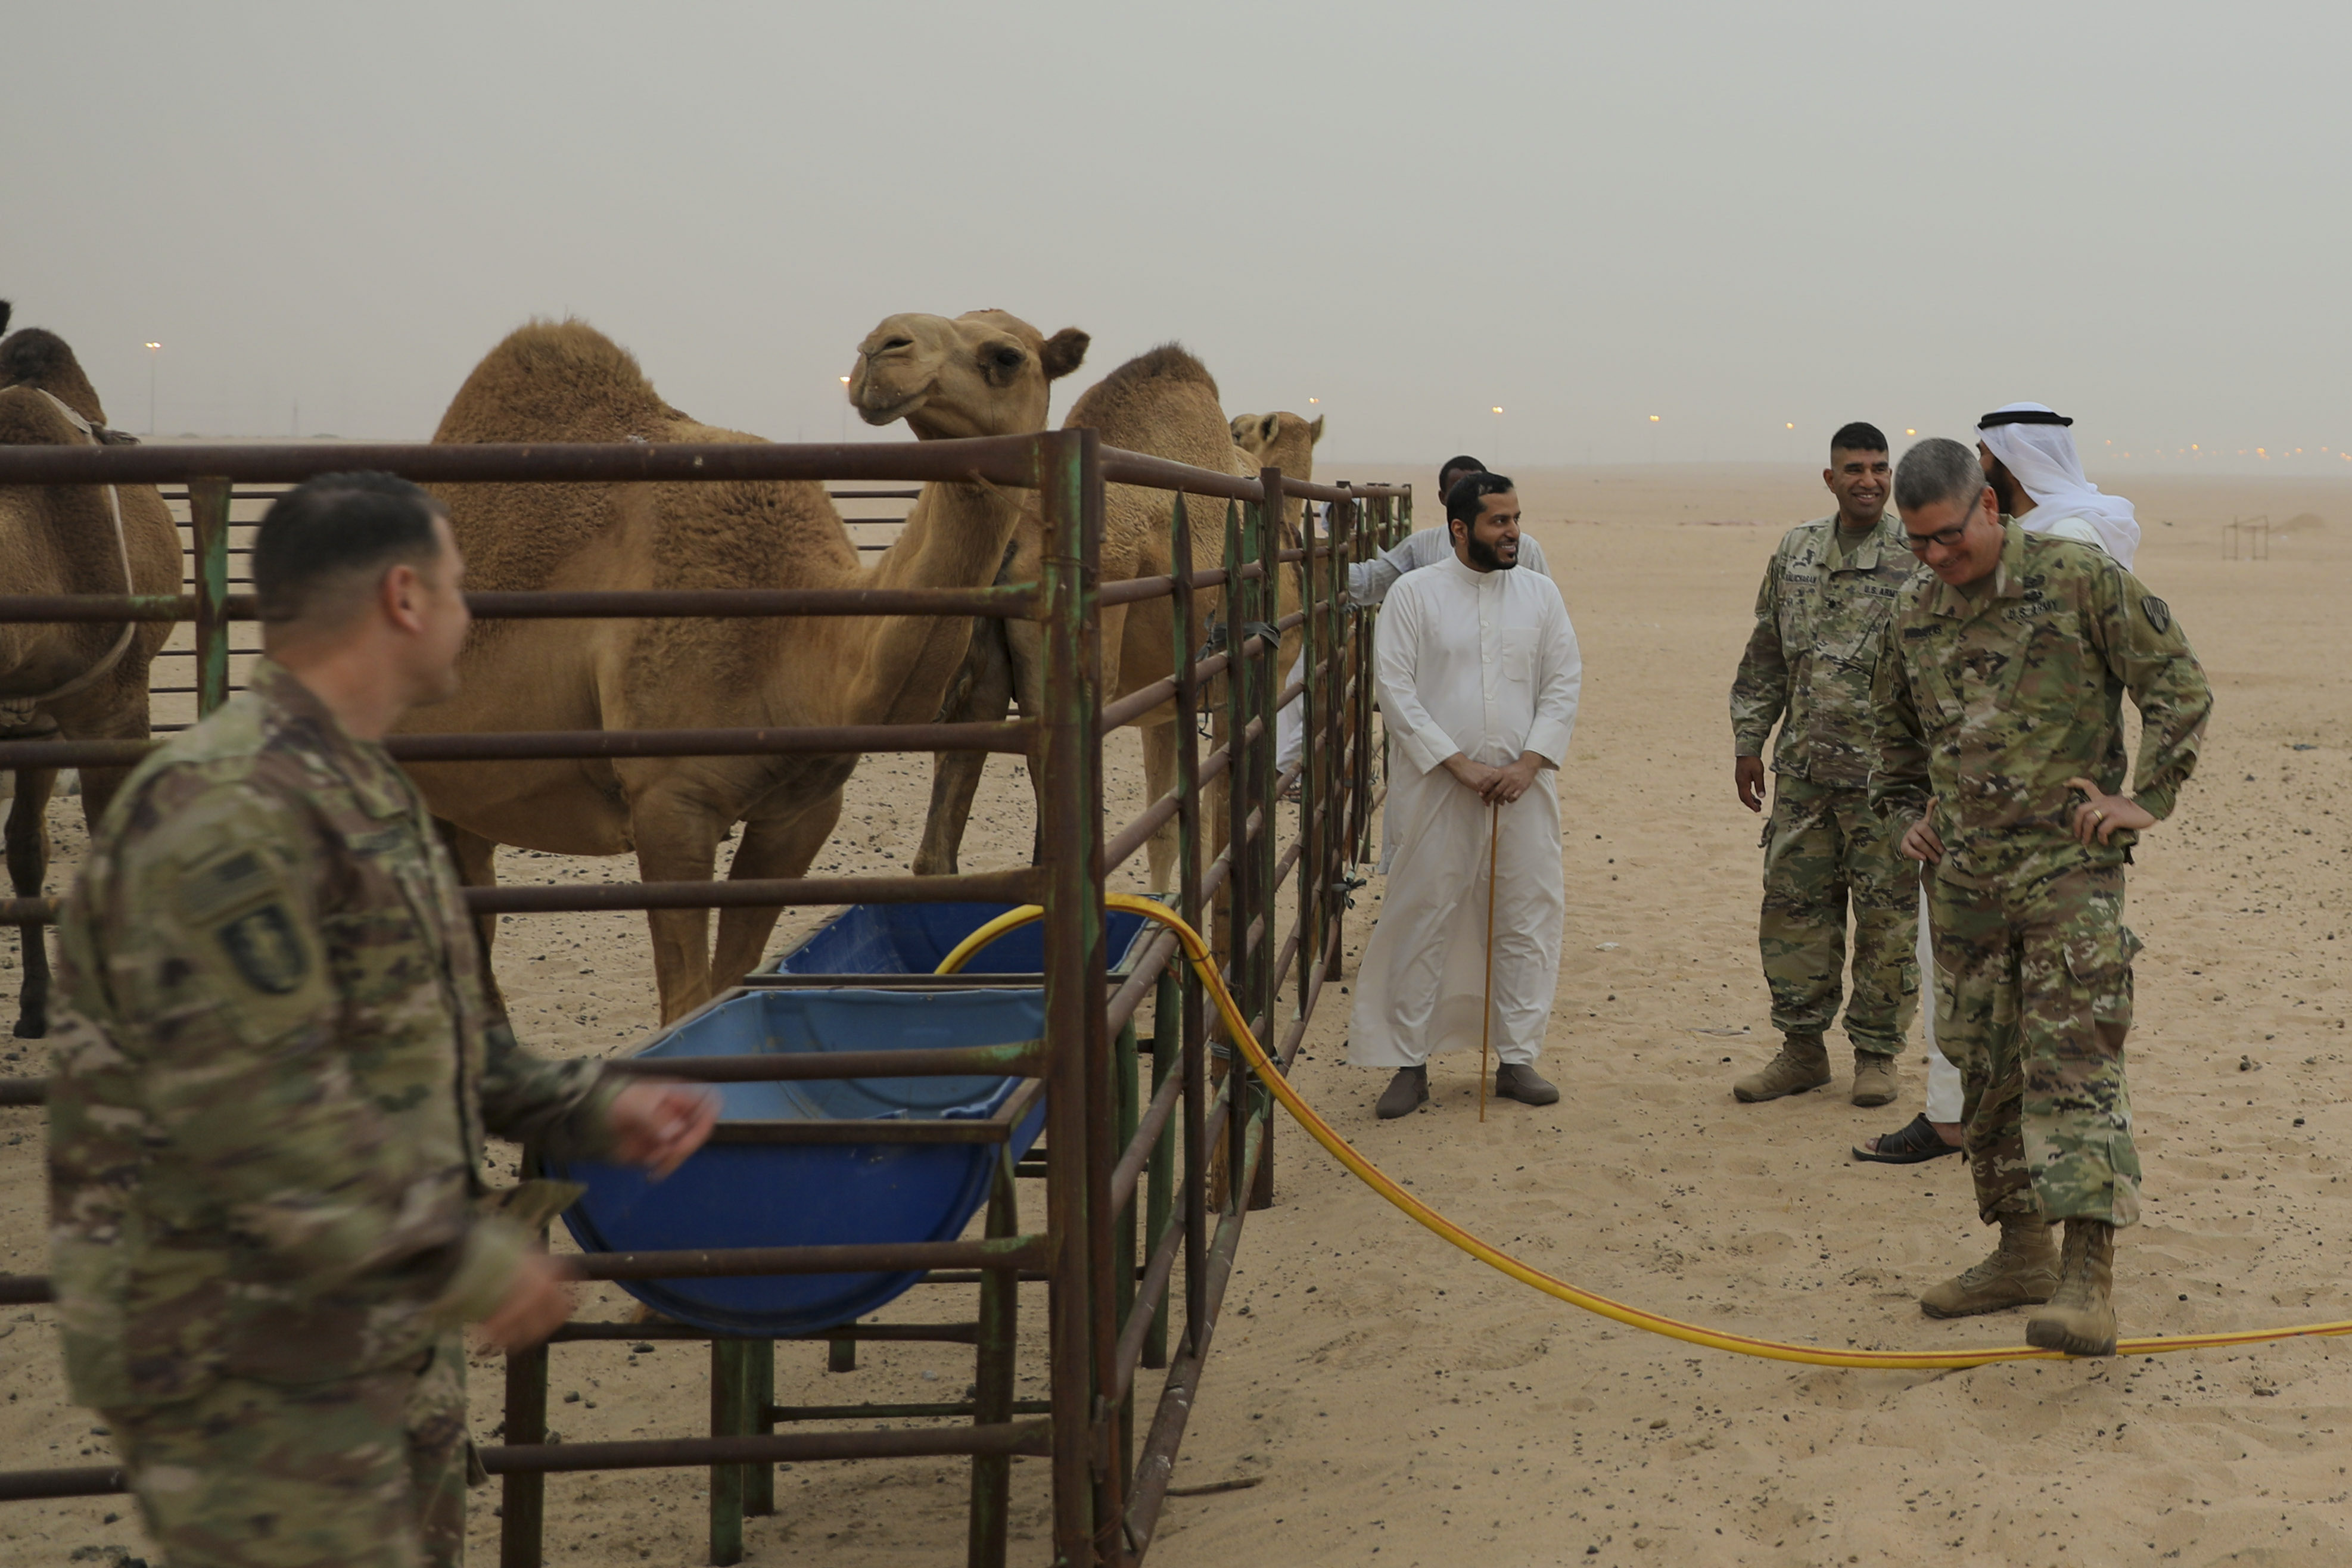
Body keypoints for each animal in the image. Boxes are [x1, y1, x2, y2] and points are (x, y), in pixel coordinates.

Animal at [396, 310, 1087, 1023]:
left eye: (1006, 355)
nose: (882, 348)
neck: (793, 638)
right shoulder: (669, 800)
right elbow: (686, 1001)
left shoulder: (804, 808)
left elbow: (735, 976)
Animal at [914, 355, 1321, 890]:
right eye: (1238, 430)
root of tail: (1016, 539)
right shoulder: (1250, 680)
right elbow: (1220, 820)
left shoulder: (1169, 699)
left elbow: (1168, 827)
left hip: (983, 671)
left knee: (941, 839)